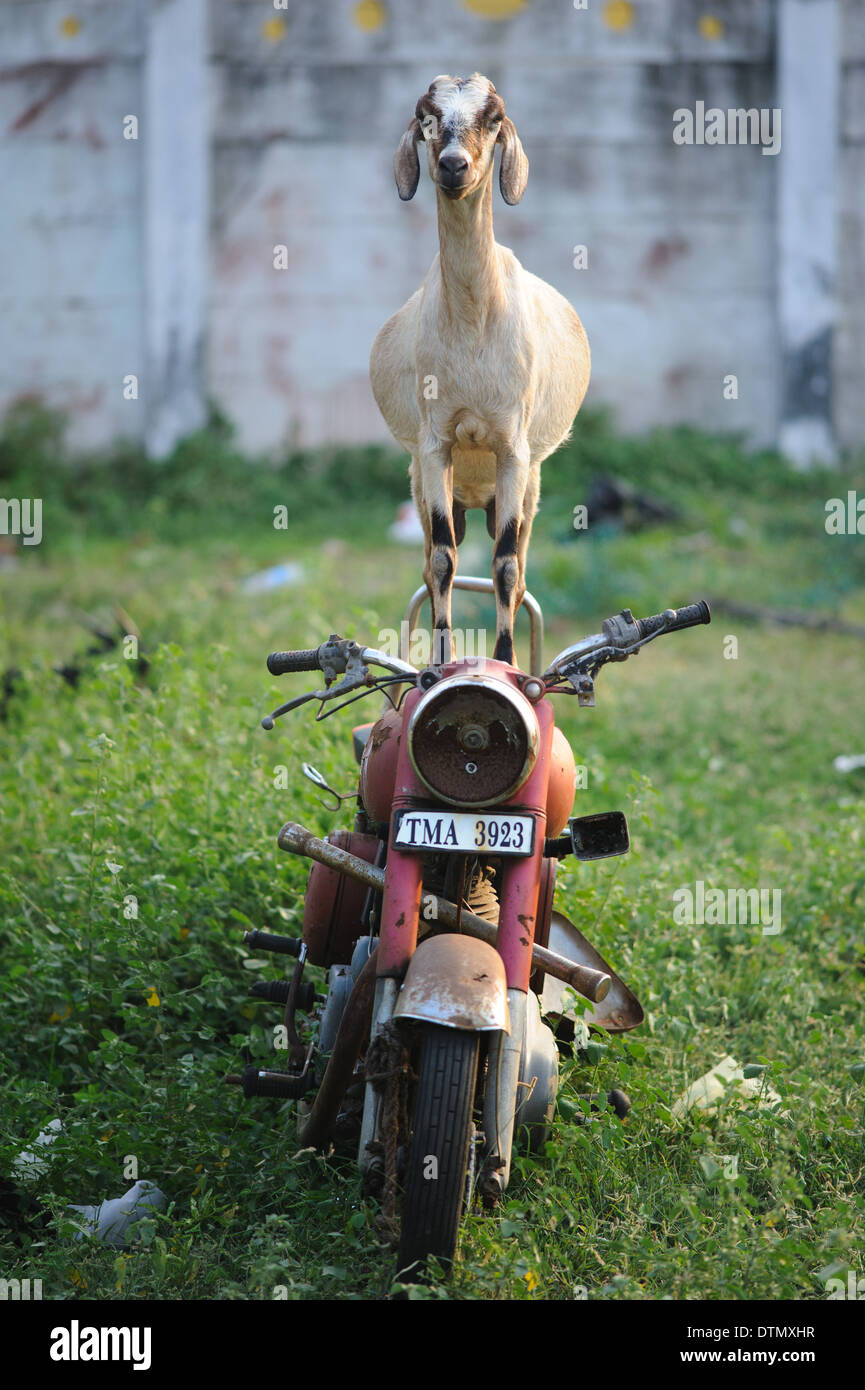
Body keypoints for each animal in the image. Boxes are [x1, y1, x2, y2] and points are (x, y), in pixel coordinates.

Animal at [370, 73, 590, 666]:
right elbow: (443, 562)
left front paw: (506, 664)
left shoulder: (513, 449)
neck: (473, 323)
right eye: (428, 117)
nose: (453, 165)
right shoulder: (434, 446)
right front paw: (440, 667)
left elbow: (507, 567)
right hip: (424, 484)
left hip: (530, 483)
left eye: (492, 120)